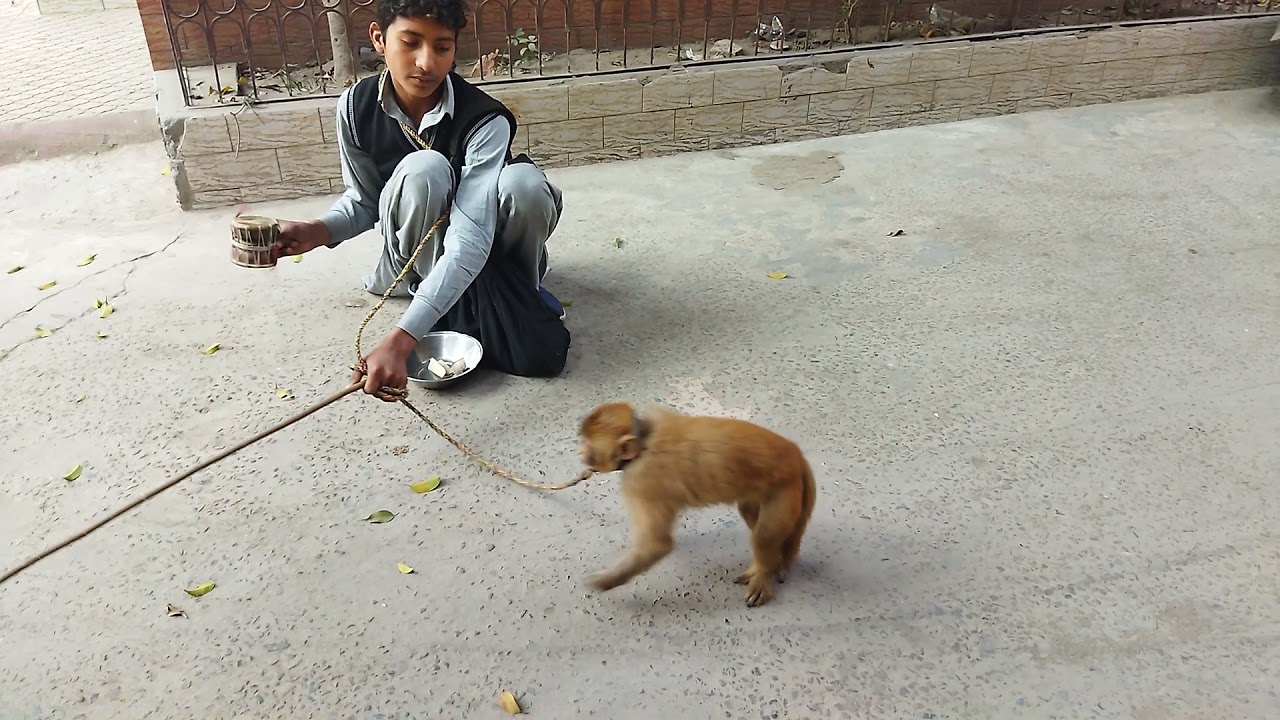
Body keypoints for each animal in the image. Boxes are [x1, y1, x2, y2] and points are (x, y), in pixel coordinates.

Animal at [576, 401, 817, 607]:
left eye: (588, 445)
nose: (579, 451)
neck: (643, 442)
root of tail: (795, 453)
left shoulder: (641, 481)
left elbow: (657, 544)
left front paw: (607, 580)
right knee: (751, 513)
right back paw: (768, 565)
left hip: (784, 490)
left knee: (764, 536)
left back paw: (765, 572)